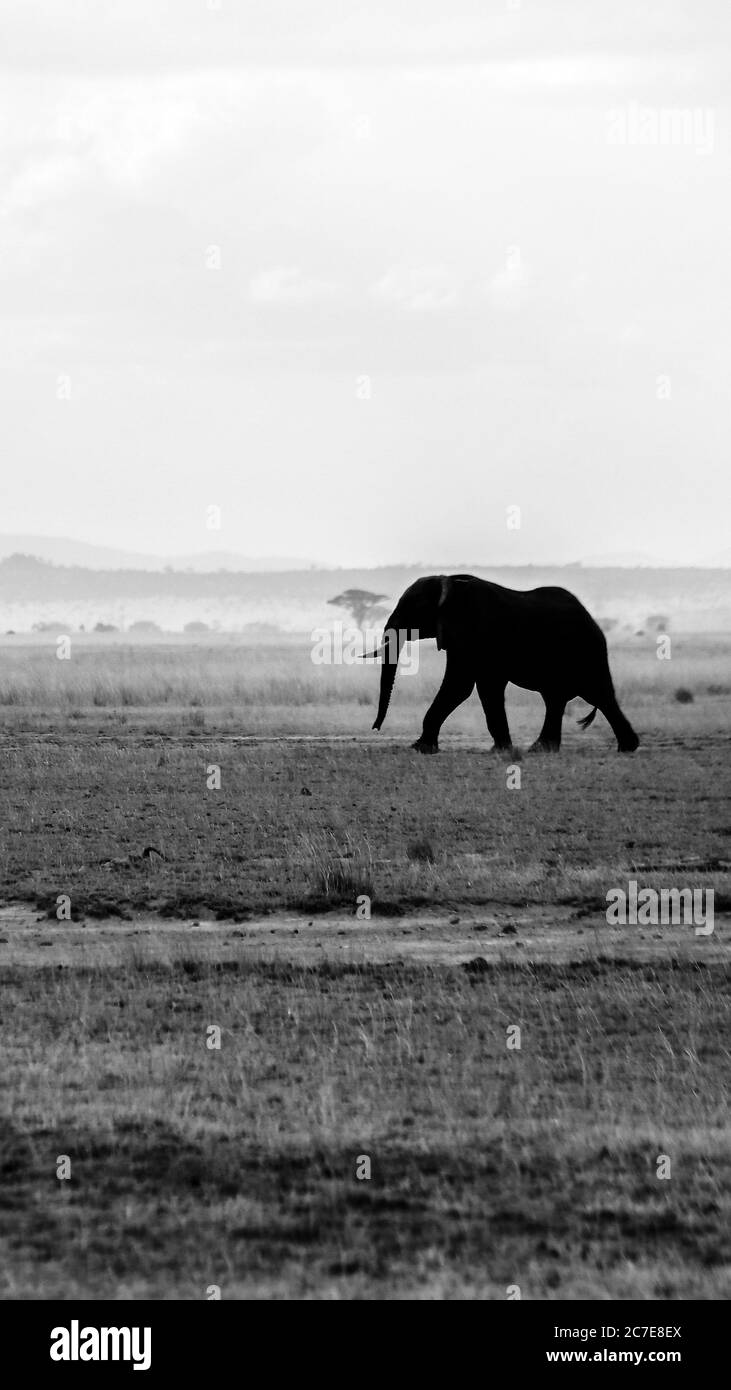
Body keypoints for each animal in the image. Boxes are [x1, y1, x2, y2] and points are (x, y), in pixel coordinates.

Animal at [361, 574, 639, 754]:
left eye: (411, 609)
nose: (375, 728)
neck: (448, 582)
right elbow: (479, 688)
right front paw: (501, 749)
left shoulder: (477, 632)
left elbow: (461, 686)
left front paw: (421, 748)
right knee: (558, 699)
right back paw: (543, 749)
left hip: (588, 652)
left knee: (598, 694)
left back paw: (626, 748)